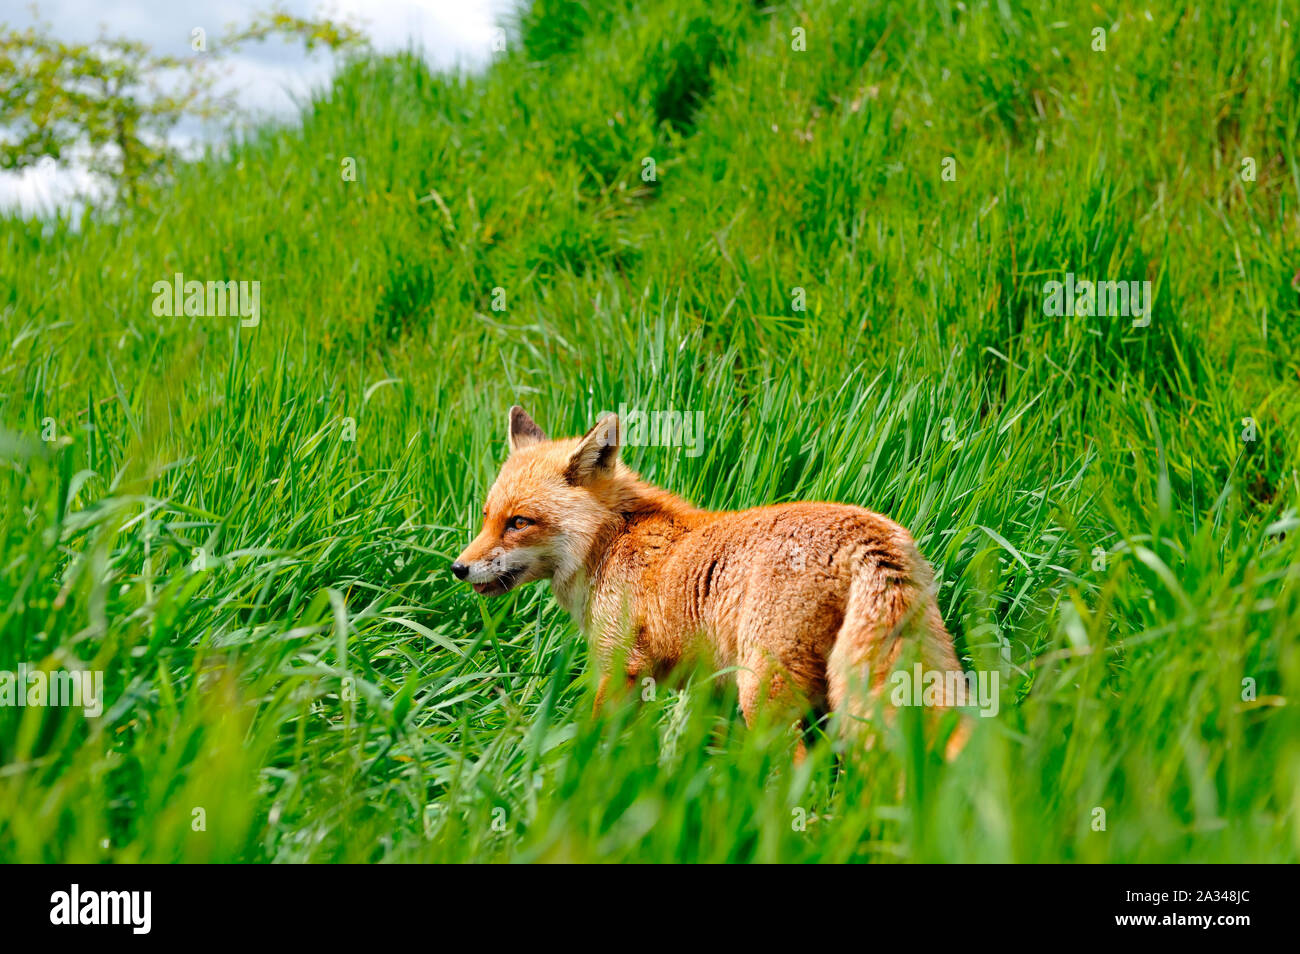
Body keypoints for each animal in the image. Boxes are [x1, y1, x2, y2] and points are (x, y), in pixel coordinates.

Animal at [452, 406, 966, 758]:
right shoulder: (706, 690)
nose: (458, 568)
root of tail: (869, 536)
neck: (610, 541)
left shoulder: (621, 667)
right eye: (487, 518)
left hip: (763, 692)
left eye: (519, 523)